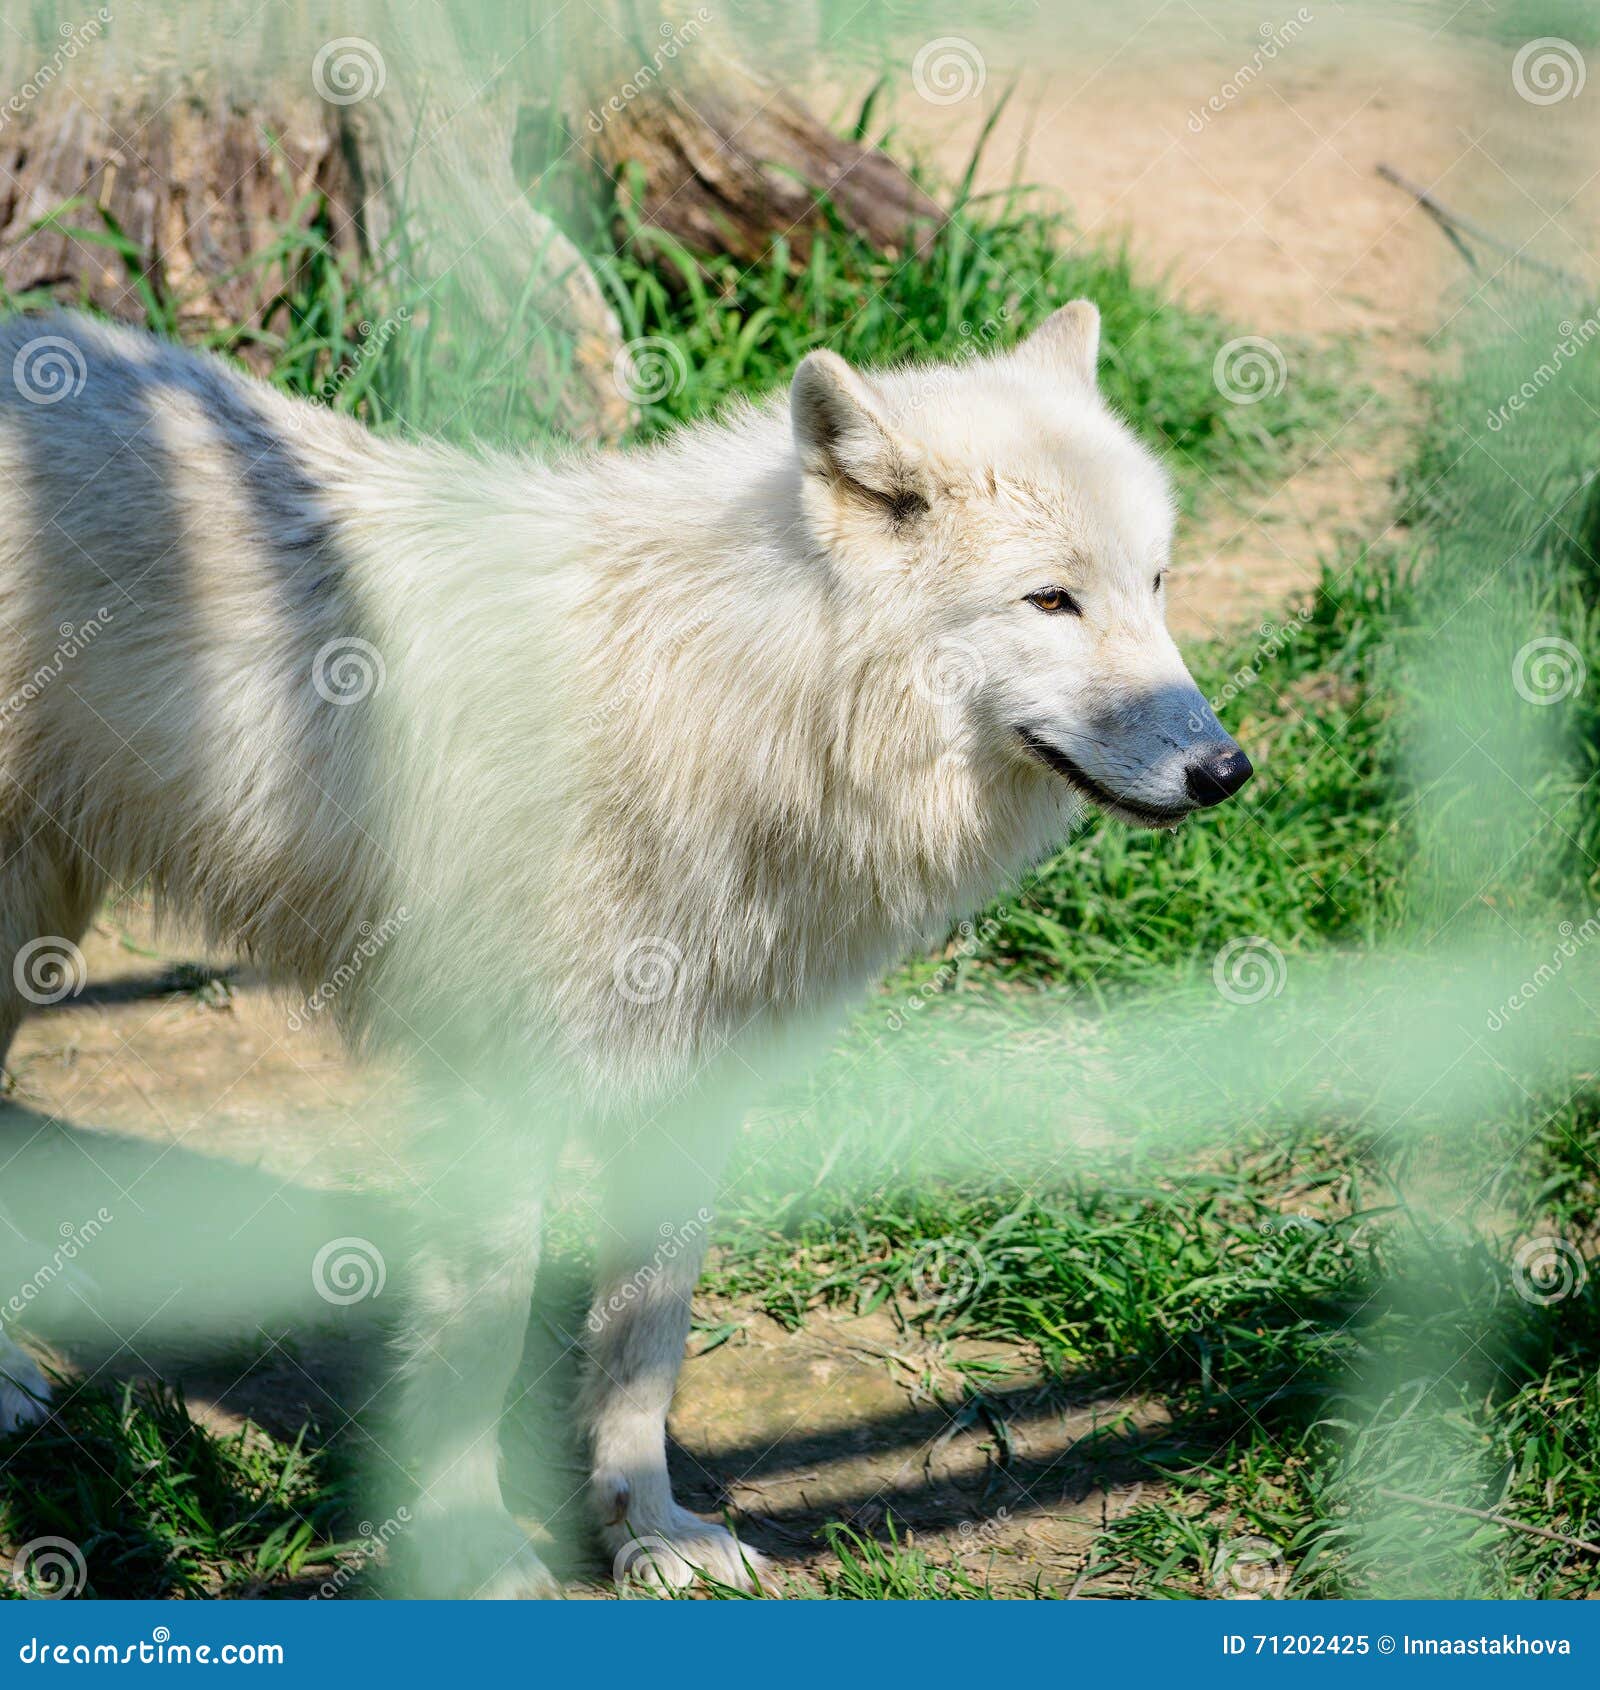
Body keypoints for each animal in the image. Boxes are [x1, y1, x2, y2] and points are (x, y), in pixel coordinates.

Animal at [0, 299, 1250, 1594]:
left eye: (1154, 582)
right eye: (1050, 600)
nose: (1226, 769)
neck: (729, 711)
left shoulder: (697, 1087)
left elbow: (646, 1340)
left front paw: (649, 1528)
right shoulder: (495, 1093)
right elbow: (481, 1342)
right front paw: (476, 1550)